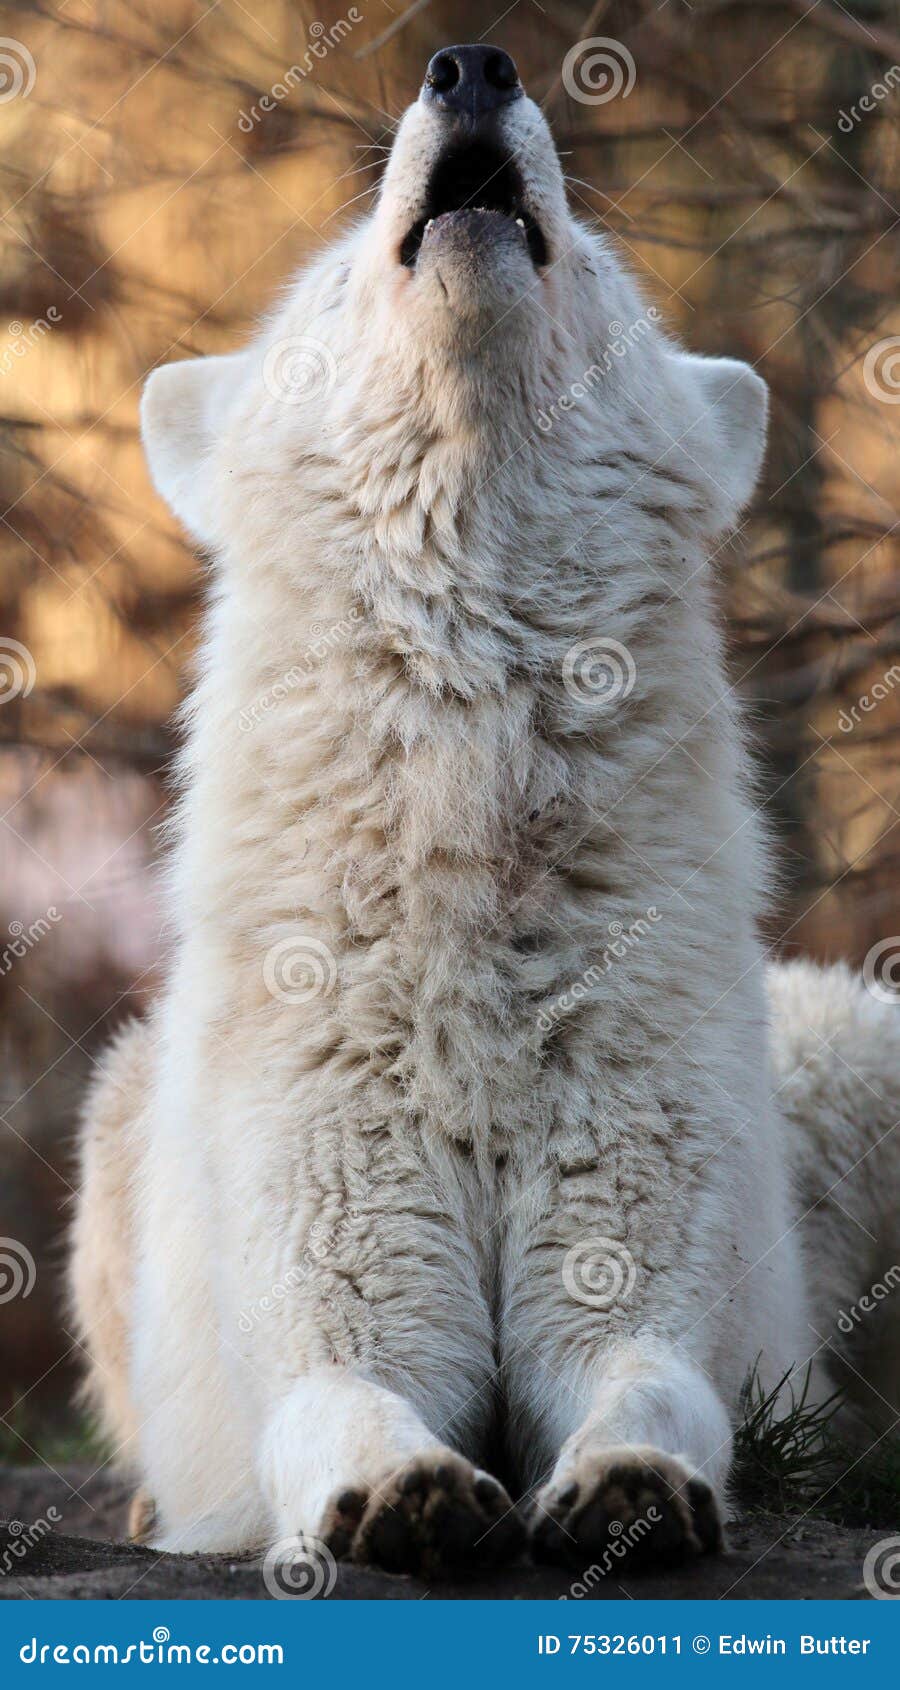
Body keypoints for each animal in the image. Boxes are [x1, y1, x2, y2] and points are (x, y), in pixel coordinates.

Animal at [70, 45, 899, 1576]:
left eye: (602, 267)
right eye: (340, 277)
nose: (469, 66)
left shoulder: (633, 1283)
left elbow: (649, 1387)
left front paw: (630, 1486)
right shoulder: (339, 1290)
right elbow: (346, 1403)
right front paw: (404, 1493)